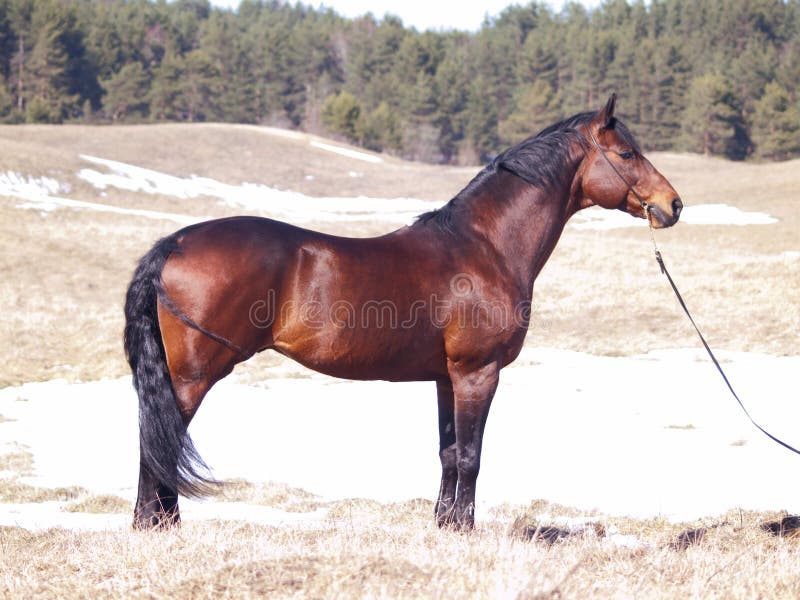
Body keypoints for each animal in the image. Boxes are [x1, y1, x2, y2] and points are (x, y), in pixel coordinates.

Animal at [124, 94, 682, 530]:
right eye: (627, 152)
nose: (673, 205)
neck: (483, 247)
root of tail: (175, 244)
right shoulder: (478, 373)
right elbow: (472, 456)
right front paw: (465, 529)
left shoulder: (445, 377)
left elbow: (448, 453)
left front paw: (444, 524)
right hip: (195, 374)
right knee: (159, 439)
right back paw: (157, 524)